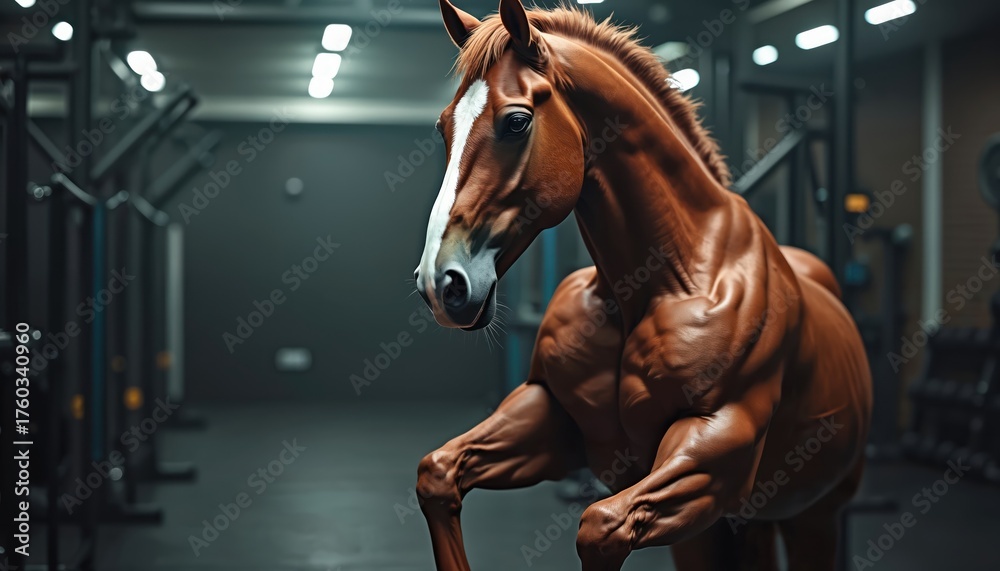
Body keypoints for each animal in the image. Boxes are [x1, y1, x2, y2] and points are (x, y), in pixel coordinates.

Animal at [411, 1, 872, 569]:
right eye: (443, 127)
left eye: (516, 121)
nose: (441, 283)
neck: (667, 281)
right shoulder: (549, 415)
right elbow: (437, 472)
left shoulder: (719, 448)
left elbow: (601, 525)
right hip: (727, 527)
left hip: (813, 513)